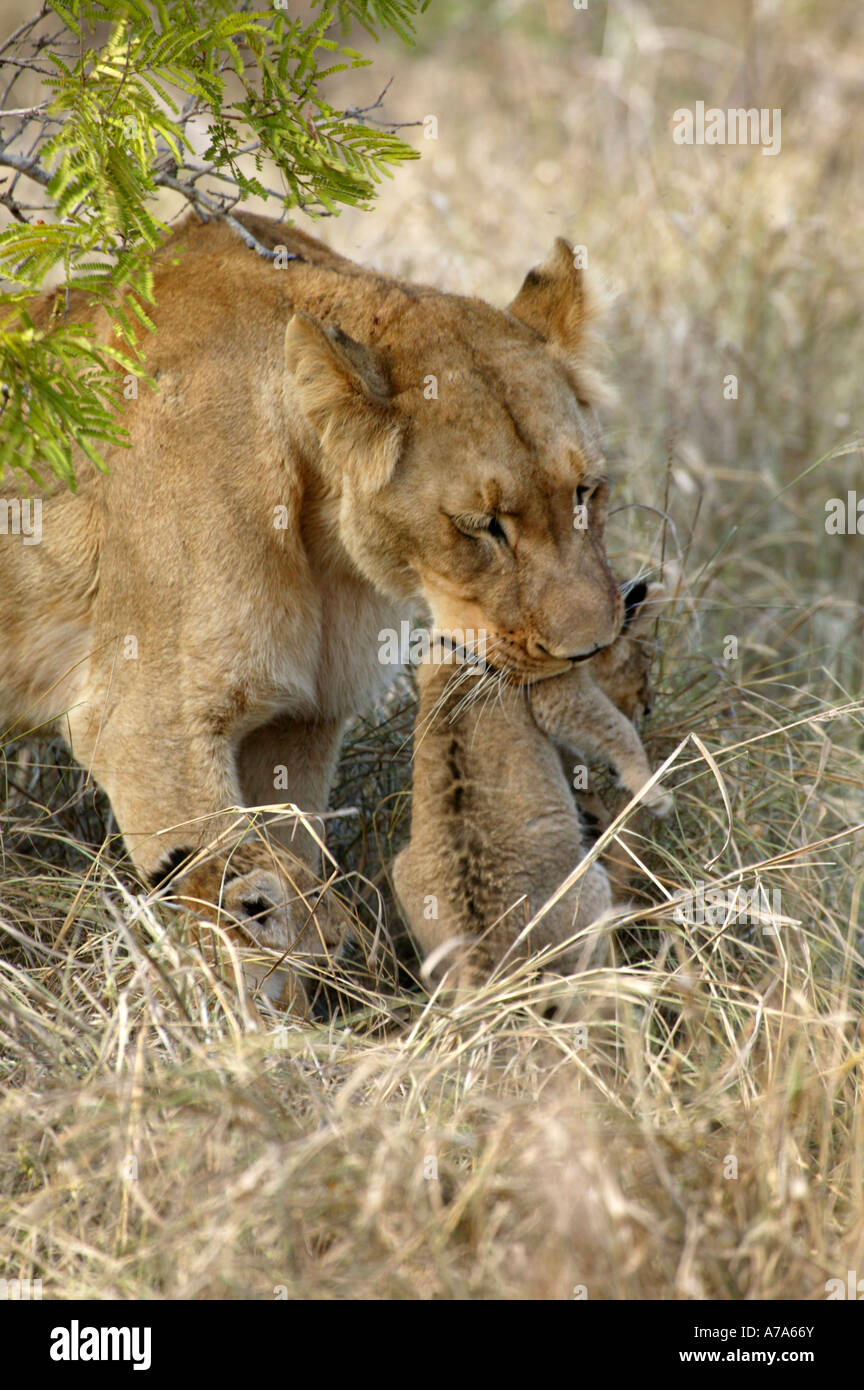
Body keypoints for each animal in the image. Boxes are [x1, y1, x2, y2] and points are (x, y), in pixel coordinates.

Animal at [0, 211, 625, 1012]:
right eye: (481, 526)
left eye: (585, 492)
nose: (591, 649)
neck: (322, 534)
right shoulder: (148, 727)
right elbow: (230, 912)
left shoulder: (300, 720)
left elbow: (290, 883)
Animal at [392, 581, 671, 997]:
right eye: (646, 661)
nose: (650, 705)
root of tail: (481, 950)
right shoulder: (557, 696)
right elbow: (615, 730)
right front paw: (652, 790)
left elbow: (578, 764)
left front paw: (597, 807)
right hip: (590, 890)